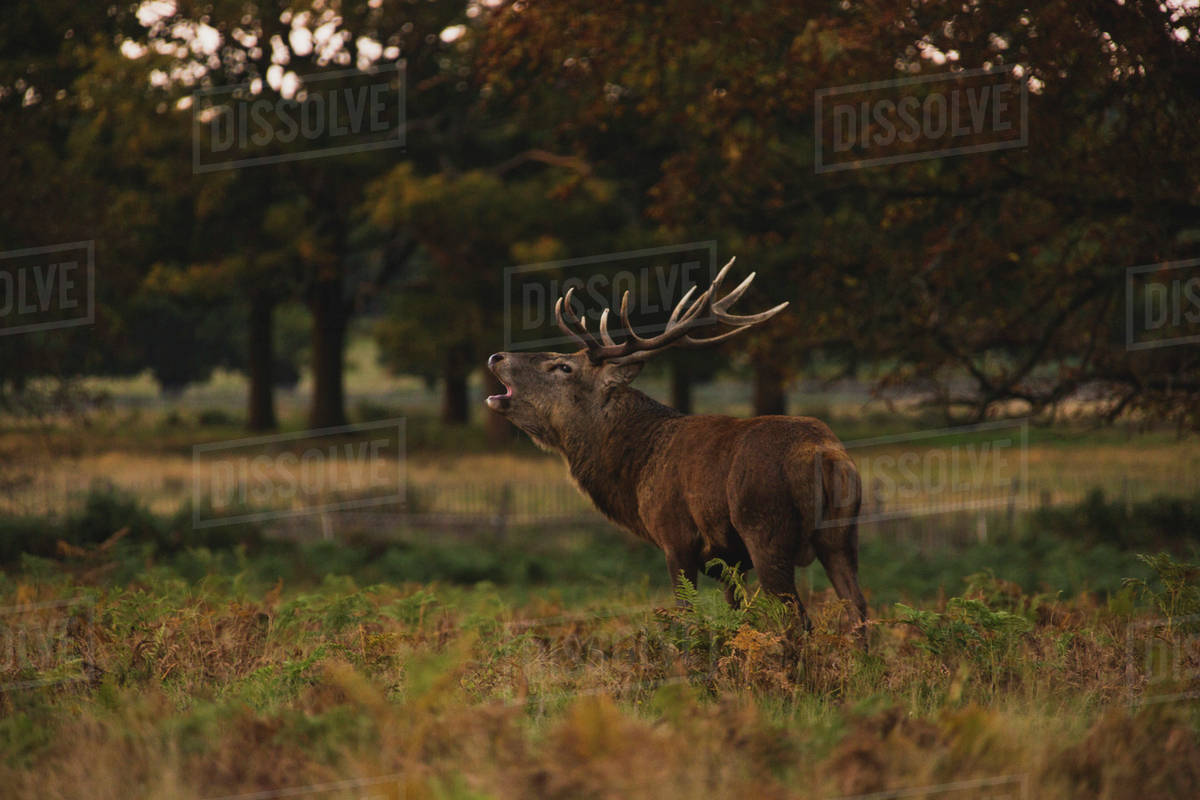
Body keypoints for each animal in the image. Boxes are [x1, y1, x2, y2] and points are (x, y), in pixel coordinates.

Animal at [486, 258, 867, 646]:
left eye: (564, 367)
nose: (497, 355)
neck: (637, 470)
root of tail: (827, 456)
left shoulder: (676, 538)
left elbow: (688, 620)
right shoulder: (730, 561)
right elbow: (737, 619)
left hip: (766, 528)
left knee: (798, 620)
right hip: (843, 536)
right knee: (859, 609)